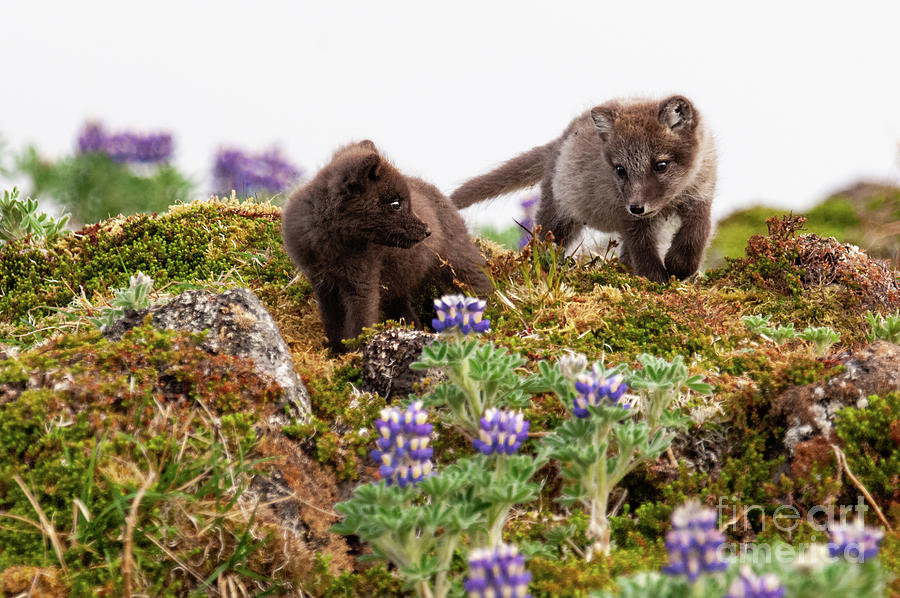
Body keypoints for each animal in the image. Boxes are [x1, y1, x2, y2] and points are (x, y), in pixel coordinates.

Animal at [282, 140, 492, 353]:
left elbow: (360, 323)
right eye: (396, 204)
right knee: (411, 318)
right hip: (397, 289)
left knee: (482, 284)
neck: (331, 242)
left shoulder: (363, 280)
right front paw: (336, 352)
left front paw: (356, 353)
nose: (428, 231)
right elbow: (333, 323)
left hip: (458, 261)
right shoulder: (322, 283)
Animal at [451, 95, 717, 283]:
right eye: (620, 169)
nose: (636, 207)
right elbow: (643, 252)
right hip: (558, 220)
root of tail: (558, 144)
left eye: (660, 165)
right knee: (541, 246)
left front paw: (681, 266)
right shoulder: (629, 218)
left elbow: (697, 233)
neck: (670, 201)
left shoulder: (701, 194)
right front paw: (657, 282)